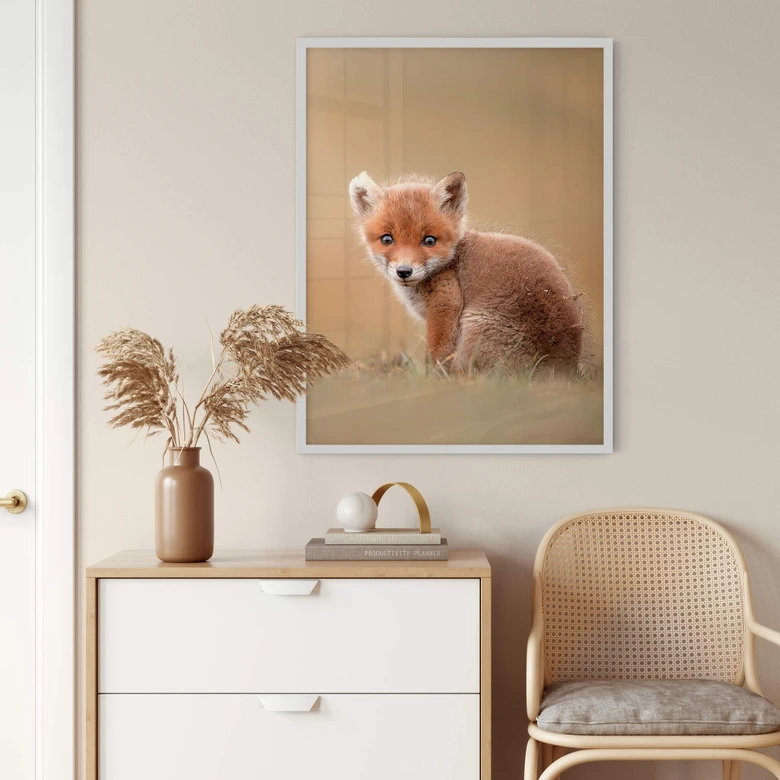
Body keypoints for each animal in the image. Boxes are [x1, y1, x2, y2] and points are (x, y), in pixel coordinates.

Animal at [349, 171, 583, 374]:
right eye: (387, 239)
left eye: (429, 240)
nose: (404, 271)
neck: (451, 260)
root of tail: (563, 369)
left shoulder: (446, 303)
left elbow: (437, 354)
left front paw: (432, 381)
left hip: (473, 328)